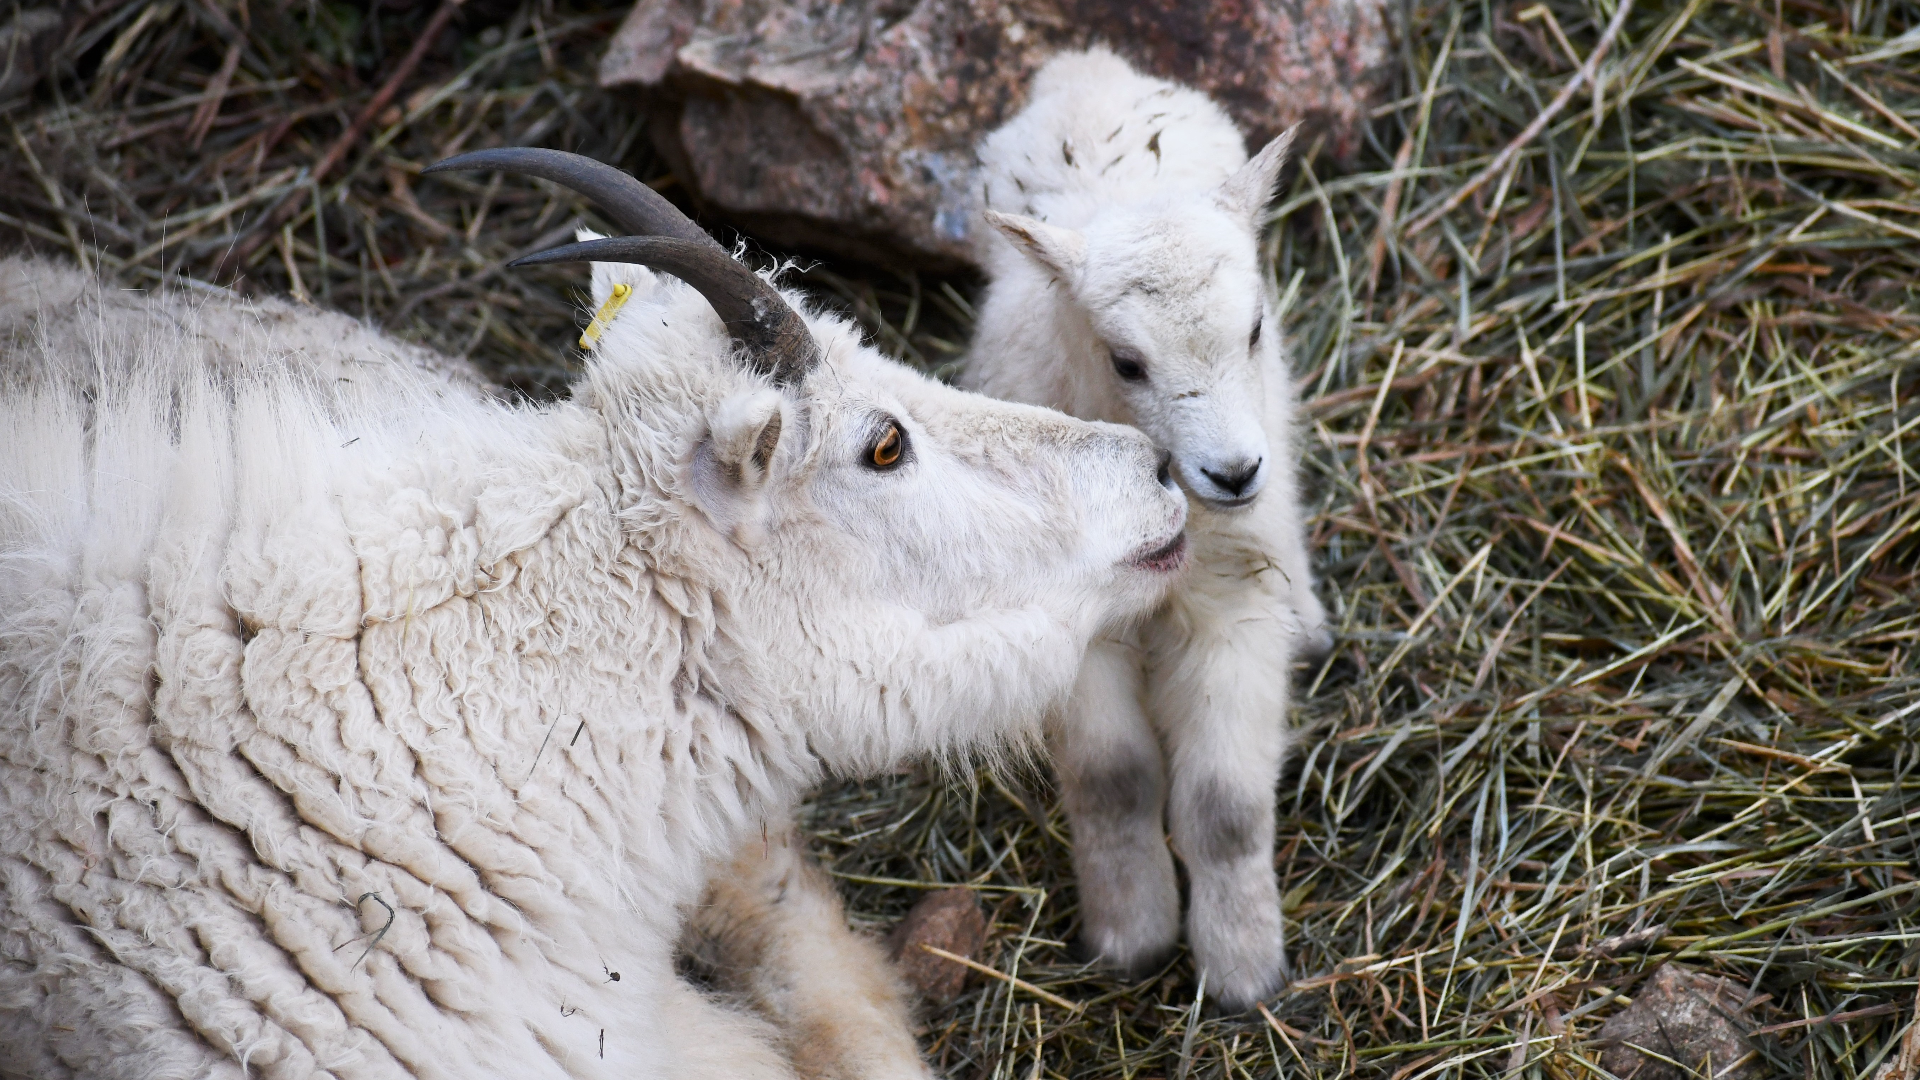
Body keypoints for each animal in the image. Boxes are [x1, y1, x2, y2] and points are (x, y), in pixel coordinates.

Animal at [963, 49, 1331, 1009]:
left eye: (1254, 329)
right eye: (1127, 363)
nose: (1232, 473)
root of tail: (1088, 66)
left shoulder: (1235, 604)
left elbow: (1226, 809)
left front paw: (1243, 972)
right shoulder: (1075, 628)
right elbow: (1114, 782)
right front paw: (1130, 934)